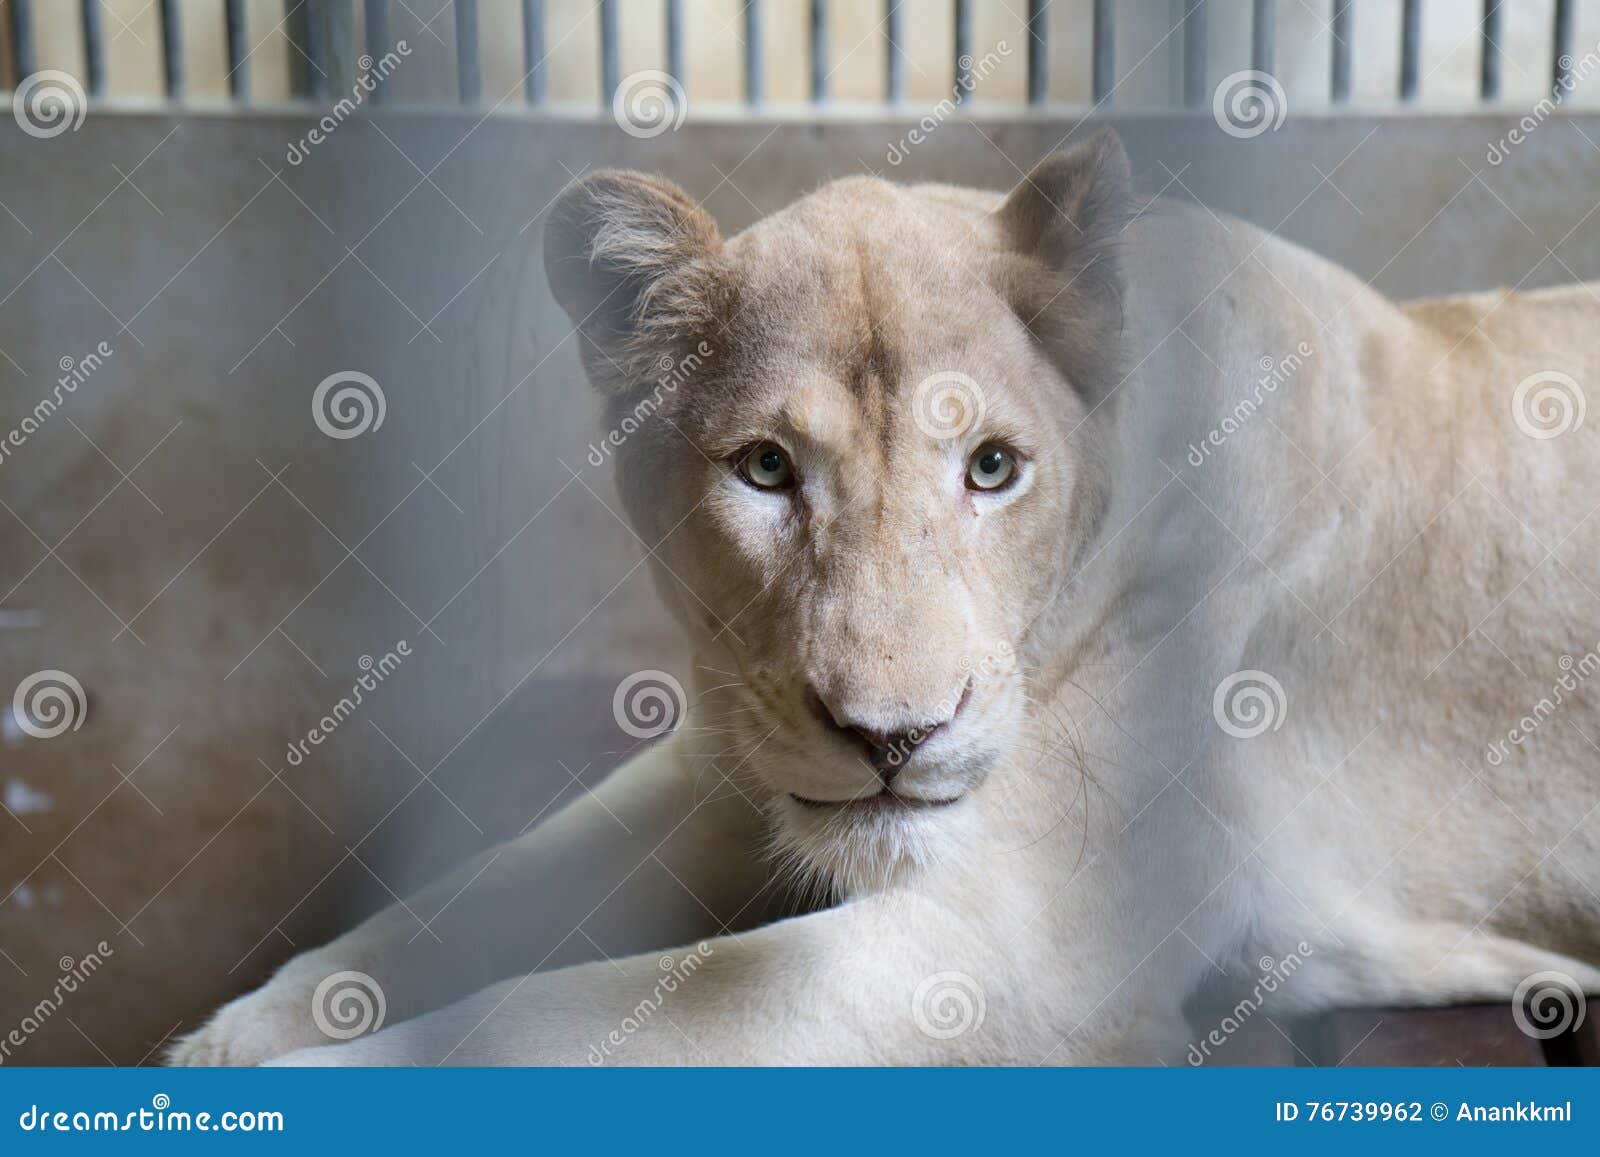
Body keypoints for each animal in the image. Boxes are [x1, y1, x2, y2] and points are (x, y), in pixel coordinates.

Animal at [171, 130, 1600, 1065]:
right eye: (764, 468)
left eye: (992, 467)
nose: (892, 737)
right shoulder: (730, 765)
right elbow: (474, 889)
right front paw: (249, 1028)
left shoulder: (1017, 946)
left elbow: (543, 1015)